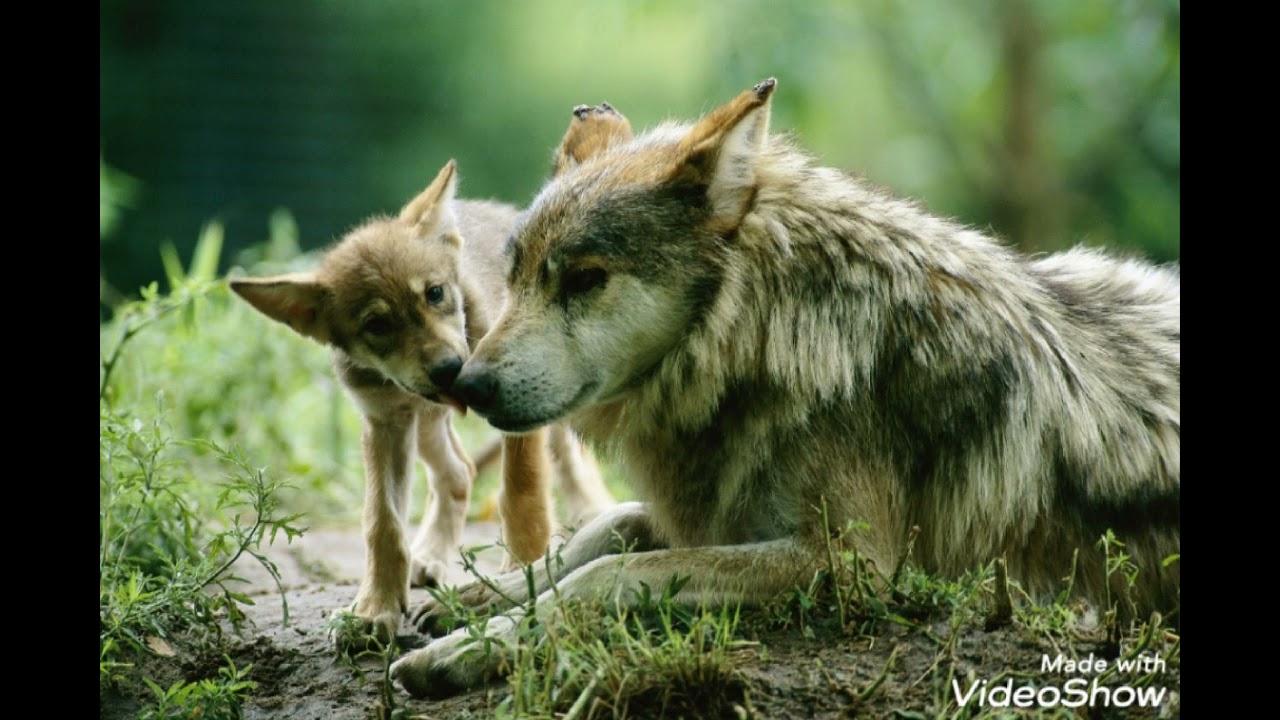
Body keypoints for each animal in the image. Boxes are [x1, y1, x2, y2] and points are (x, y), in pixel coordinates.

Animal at [229, 160, 614, 644]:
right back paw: (429, 554)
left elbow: (521, 493)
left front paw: (520, 572)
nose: (450, 370)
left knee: (572, 464)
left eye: (434, 293)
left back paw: (596, 515)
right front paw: (374, 608)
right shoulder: (385, 423)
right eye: (377, 325)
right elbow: (383, 523)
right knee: (459, 471)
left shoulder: (516, 412)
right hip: (427, 422)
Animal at [390, 80, 1179, 698]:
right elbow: (604, 530)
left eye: (585, 279)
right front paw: (469, 601)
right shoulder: (714, 510)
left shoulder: (851, 566)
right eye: (517, 275)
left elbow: (612, 573)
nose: (468, 384)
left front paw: (474, 646)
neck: (770, 337)